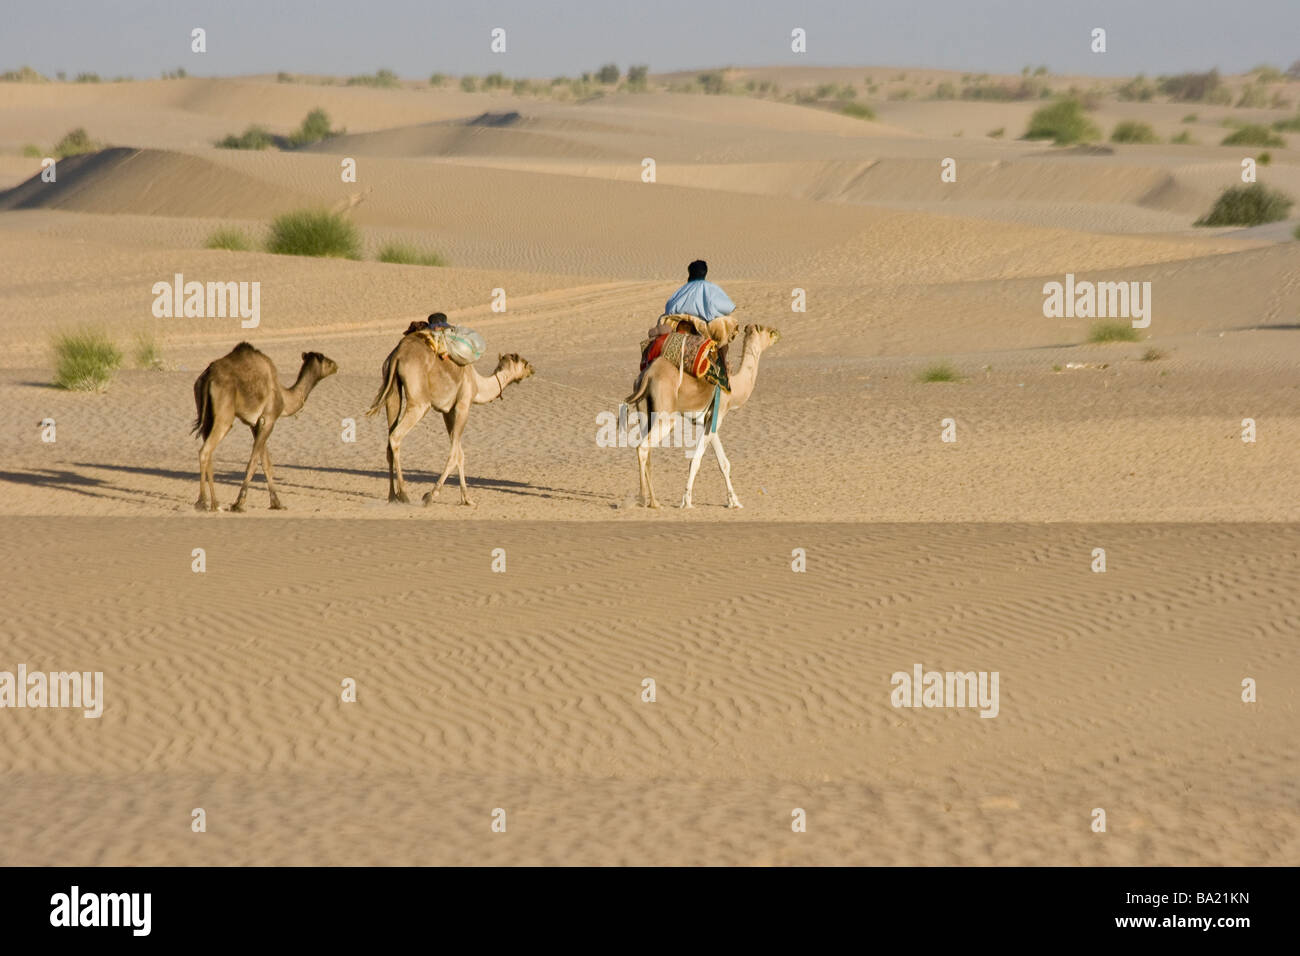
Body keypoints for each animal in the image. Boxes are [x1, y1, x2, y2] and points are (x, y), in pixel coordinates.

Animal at [192, 343, 338, 512]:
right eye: (326, 360)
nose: (336, 365)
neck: (284, 396)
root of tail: (208, 377)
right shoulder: (268, 420)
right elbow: (254, 462)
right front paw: (238, 503)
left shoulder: (255, 424)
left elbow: (266, 463)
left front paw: (277, 503)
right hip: (224, 417)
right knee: (205, 451)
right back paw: (202, 502)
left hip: (207, 416)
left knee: (209, 452)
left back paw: (215, 504)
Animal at [365, 330, 534, 506]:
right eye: (525, 362)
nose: (532, 369)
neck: (477, 383)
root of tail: (398, 354)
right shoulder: (463, 405)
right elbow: (454, 455)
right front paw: (430, 495)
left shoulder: (447, 412)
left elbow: (460, 454)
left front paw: (467, 498)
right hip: (419, 402)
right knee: (396, 436)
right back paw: (404, 494)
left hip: (392, 391)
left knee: (389, 440)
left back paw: (392, 495)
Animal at [626, 324, 780, 510]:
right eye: (767, 331)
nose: (778, 334)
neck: (734, 389)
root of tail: (648, 375)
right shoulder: (717, 416)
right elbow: (696, 460)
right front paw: (687, 501)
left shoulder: (709, 421)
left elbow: (724, 463)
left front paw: (734, 502)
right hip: (666, 415)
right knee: (643, 447)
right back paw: (643, 499)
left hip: (644, 411)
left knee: (647, 450)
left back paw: (654, 502)